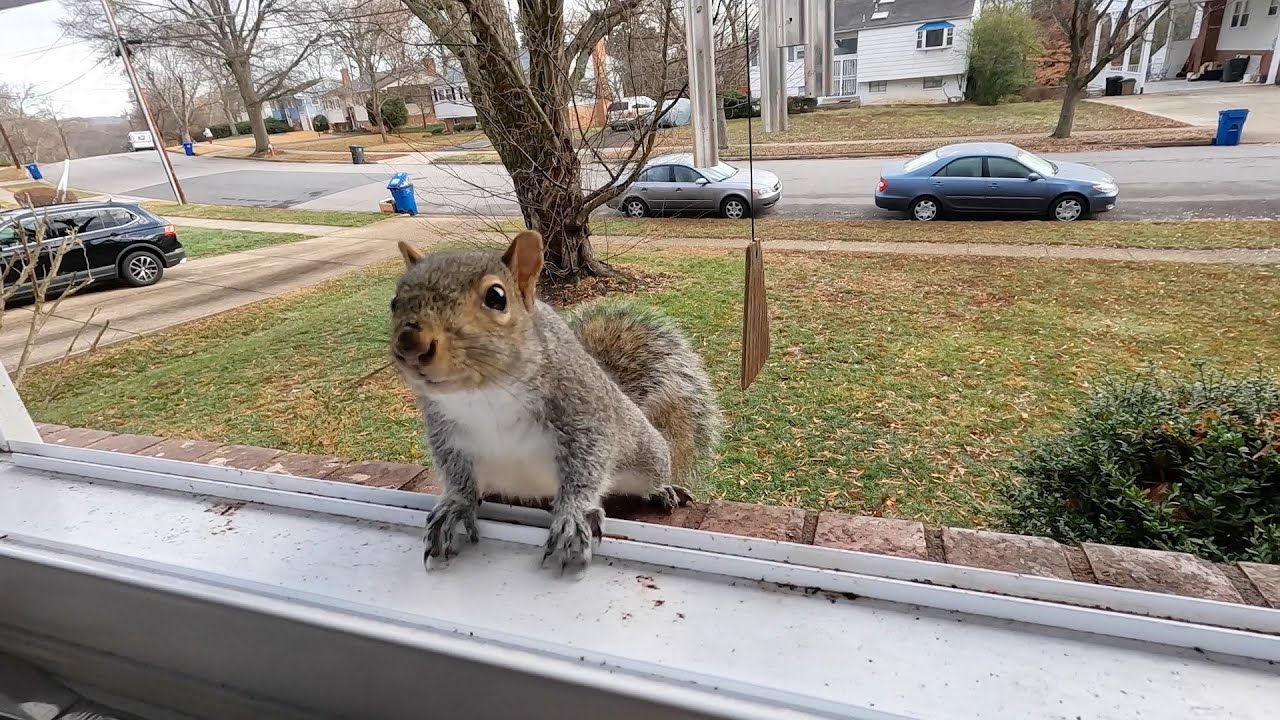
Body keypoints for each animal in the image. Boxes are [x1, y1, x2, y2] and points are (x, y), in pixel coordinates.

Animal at [391, 230, 721, 573]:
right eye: (394, 302)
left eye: (496, 297)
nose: (410, 345)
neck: (483, 395)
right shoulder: (446, 434)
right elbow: (456, 474)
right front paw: (456, 505)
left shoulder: (585, 416)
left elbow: (587, 468)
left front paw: (573, 516)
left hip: (647, 454)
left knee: (650, 474)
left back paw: (662, 490)